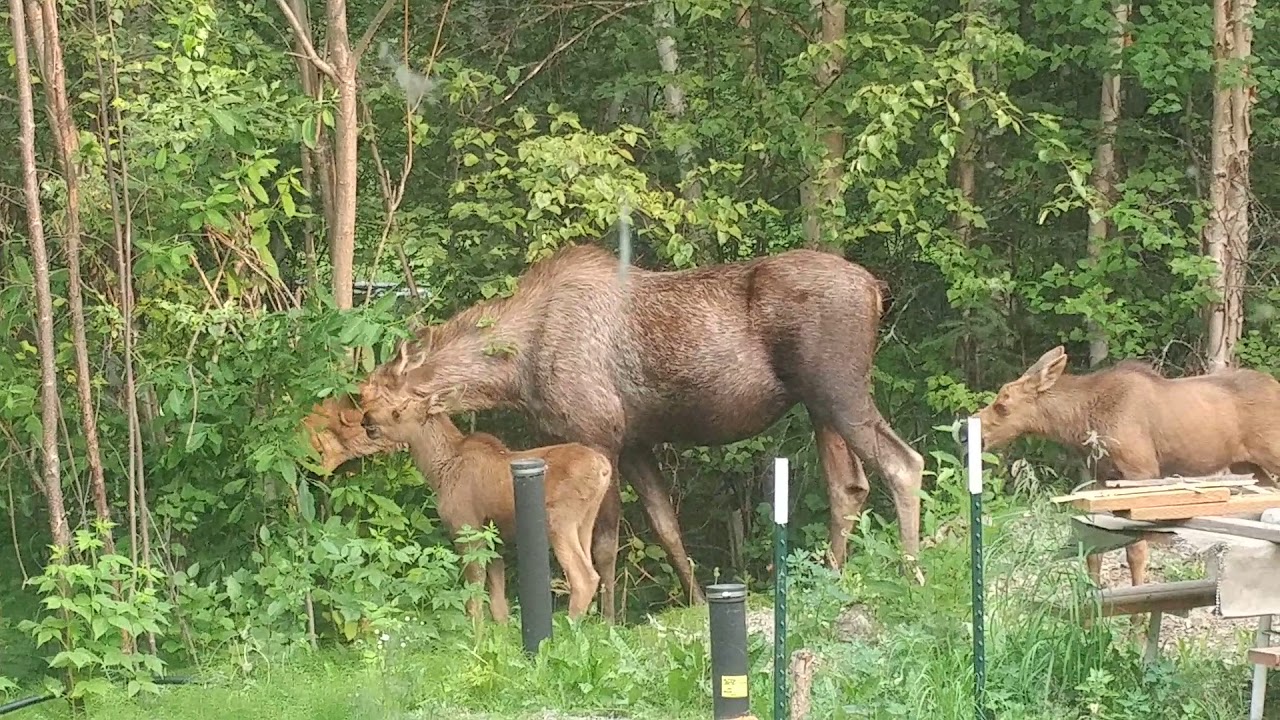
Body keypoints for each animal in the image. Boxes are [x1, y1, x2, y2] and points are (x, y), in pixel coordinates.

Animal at [304, 392, 611, 621]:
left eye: (398, 412)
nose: (368, 419)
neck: (439, 471)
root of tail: (604, 468)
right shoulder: (494, 538)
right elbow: (498, 603)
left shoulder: (466, 527)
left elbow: (473, 595)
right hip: (585, 521)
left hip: (559, 520)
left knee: (583, 576)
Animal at [354, 242, 926, 622]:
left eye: (375, 401)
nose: (359, 426)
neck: (516, 372)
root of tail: (876, 290)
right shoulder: (633, 443)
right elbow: (667, 527)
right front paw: (694, 604)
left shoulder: (599, 434)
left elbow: (605, 545)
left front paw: (606, 622)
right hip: (818, 405)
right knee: (848, 485)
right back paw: (831, 576)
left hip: (838, 388)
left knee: (904, 463)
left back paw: (912, 573)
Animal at [975, 345, 1280, 588]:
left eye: (1002, 405)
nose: (974, 435)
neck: (1080, 423)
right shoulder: (1100, 477)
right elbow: (1094, 551)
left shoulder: (1141, 471)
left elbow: (1136, 553)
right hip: (1248, 464)